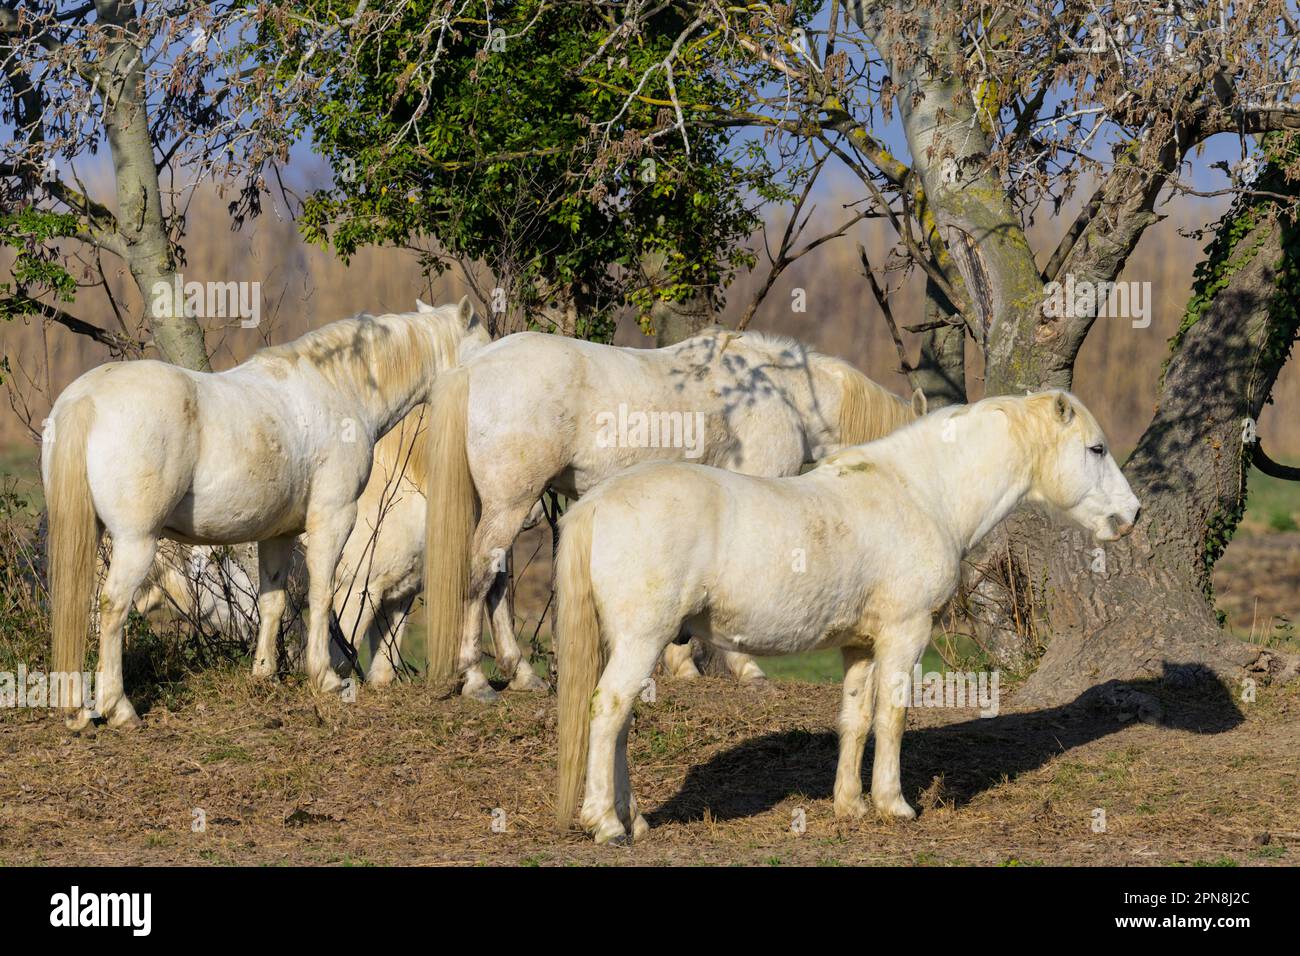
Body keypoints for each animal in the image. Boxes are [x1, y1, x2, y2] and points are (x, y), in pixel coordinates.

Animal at [44, 298, 489, 729]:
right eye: (485, 350)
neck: (338, 388)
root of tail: (84, 401)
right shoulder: (334, 521)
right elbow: (323, 595)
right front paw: (325, 677)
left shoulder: (278, 534)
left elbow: (272, 602)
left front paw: (264, 674)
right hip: (136, 541)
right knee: (113, 608)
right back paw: (119, 709)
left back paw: (79, 711)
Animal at [425, 328, 925, 701]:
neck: (784, 396)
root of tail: (472, 367)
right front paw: (745, 669)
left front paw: (683, 663)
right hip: (510, 504)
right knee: (479, 575)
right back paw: (475, 680)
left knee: (495, 580)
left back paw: (522, 674)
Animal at [553, 390, 1141, 844]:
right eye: (1095, 448)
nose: (1131, 515)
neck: (920, 493)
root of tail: (598, 502)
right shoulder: (906, 632)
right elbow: (893, 716)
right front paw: (893, 804)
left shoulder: (860, 645)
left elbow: (855, 719)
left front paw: (850, 805)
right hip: (643, 638)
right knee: (608, 711)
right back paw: (606, 824)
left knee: (621, 723)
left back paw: (636, 820)